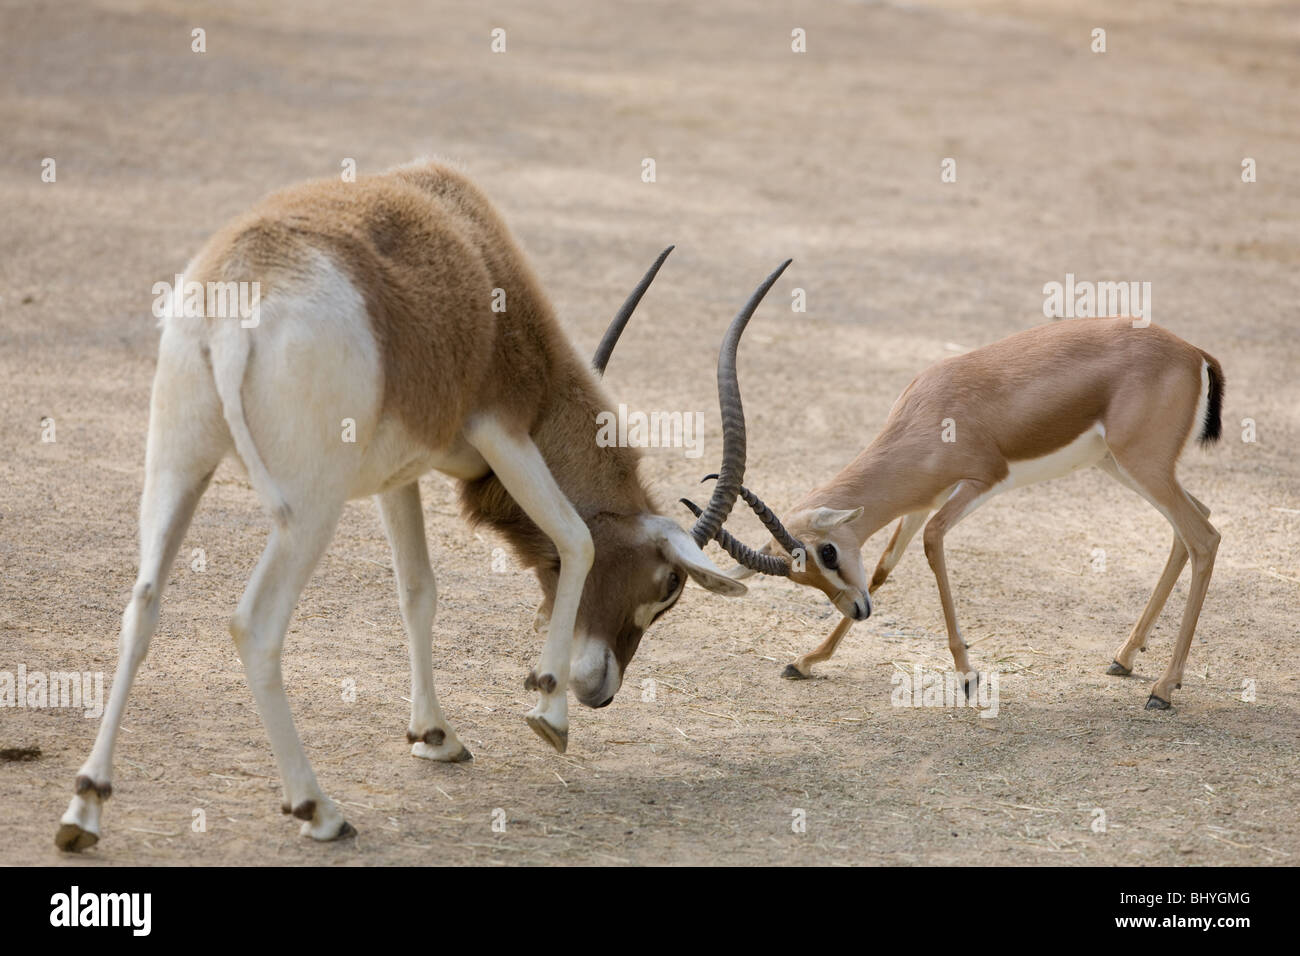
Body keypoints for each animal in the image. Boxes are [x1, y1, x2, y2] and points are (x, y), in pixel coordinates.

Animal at [57, 159, 789, 851]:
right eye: (668, 586)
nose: (597, 690)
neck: (479, 247)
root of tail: (239, 293)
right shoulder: (502, 429)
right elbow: (578, 537)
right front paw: (547, 714)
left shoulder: (397, 478)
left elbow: (418, 590)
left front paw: (436, 736)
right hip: (309, 506)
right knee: (255, 625)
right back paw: (319, 810)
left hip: (178, 467)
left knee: (143, 604)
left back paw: (85, 809)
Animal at [685, 317, 1224, 711]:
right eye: (803, 577)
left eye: (828, 552)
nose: (858, 611)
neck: (929, 415)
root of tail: (1192, 352)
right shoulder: (921, 502)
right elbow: (884, 567)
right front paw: (805, 660)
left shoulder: (976, 486)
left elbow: (932, 542)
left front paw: (968, 677)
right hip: (1121, 465)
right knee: (1191, 524)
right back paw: (1124, 659)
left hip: (1141, 465)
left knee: (1204, 536)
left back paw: (1162, 690)